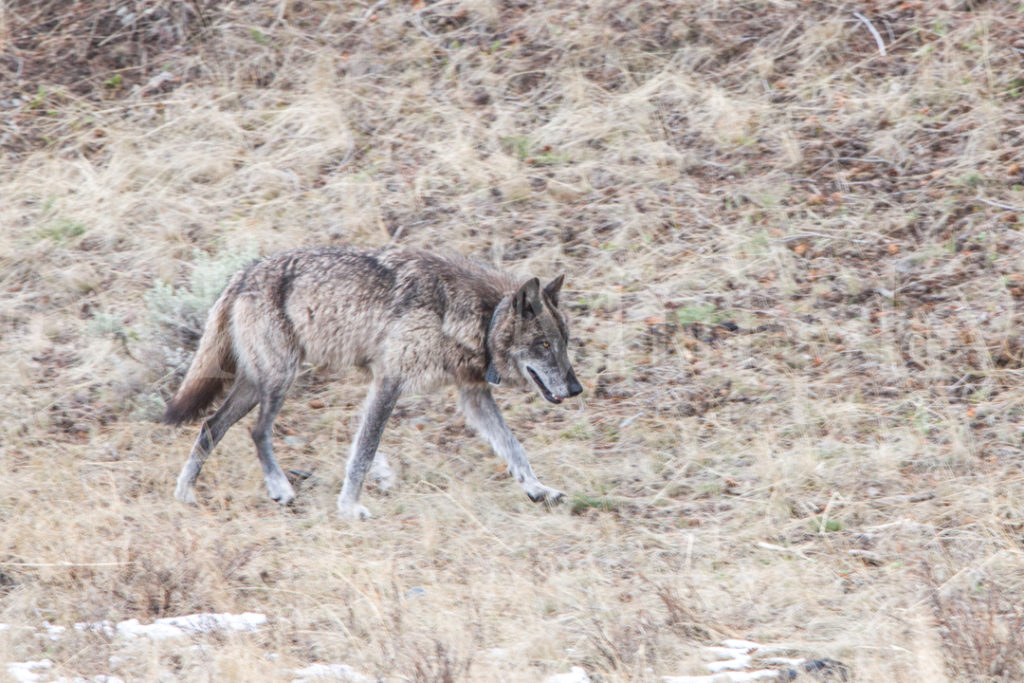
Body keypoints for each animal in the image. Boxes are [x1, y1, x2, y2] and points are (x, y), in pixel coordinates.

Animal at [162, 245, 583, 519]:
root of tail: (243, 273)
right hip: (279, 381)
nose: (576, 389)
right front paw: (349, 508)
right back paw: (280, 489)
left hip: (255, 385)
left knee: (210, 426)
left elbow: (515, 449)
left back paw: (184, 494)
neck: (477, 317)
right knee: (256, 431)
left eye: (564, 342)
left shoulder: (473, 395)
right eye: (545, 345)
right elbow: (363, 454)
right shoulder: (388, 382)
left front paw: (539, 490)